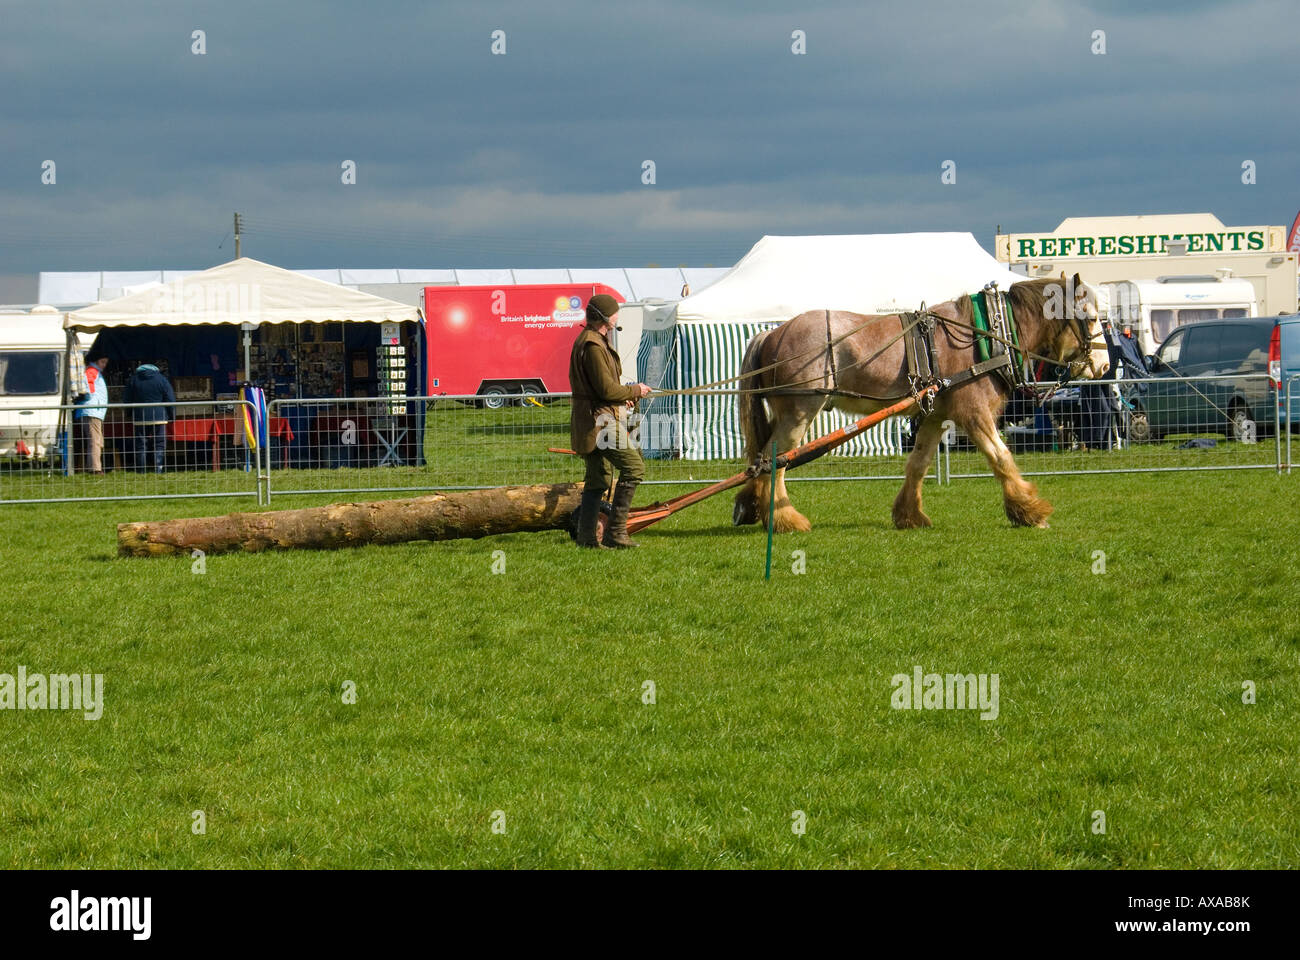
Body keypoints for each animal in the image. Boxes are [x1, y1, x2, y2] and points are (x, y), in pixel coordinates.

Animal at [732, 275, 1110, 533]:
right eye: (1091, 318)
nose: (1106, 366)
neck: (985, 335)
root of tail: (770, 333)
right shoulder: (973, 412)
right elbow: (1000, 457)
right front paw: (1029, 510)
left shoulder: (935, 416)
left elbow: (918, 464)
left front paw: (909, 514)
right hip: (799, 411)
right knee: (774, 459)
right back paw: (784, 517)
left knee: (762, 457)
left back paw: (751, 505)